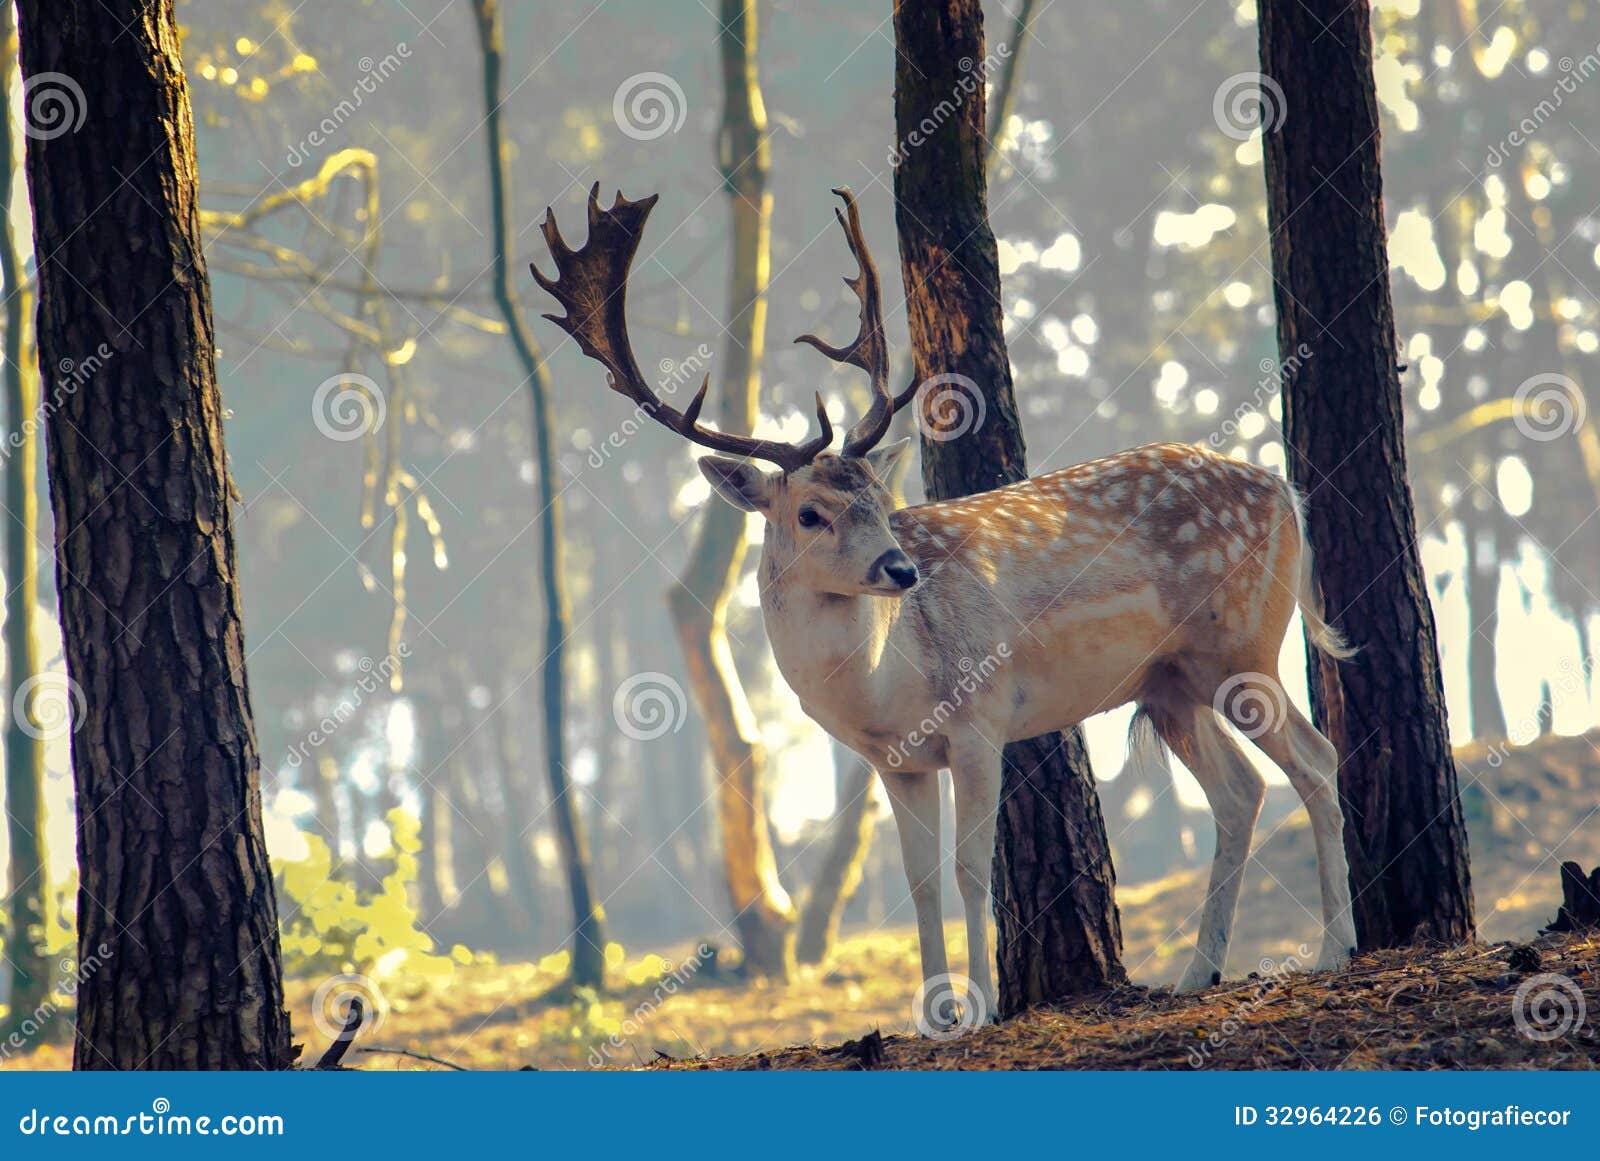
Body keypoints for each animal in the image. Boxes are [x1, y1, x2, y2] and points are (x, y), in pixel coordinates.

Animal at [534, 183, 1359, 1033]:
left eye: (881, 497)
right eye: (810, 513)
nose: (900, 569)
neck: (883, 685)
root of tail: (1284, 488)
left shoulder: (979, 717)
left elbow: (969, 867)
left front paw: (982, 1007)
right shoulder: (895, 761)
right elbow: (918, 877)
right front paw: (932, 1018)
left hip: (1242, 644)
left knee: (1315, 758)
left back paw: (1333, 949)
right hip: (1171, 681)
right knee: (1241, 791)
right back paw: (1198, 971)